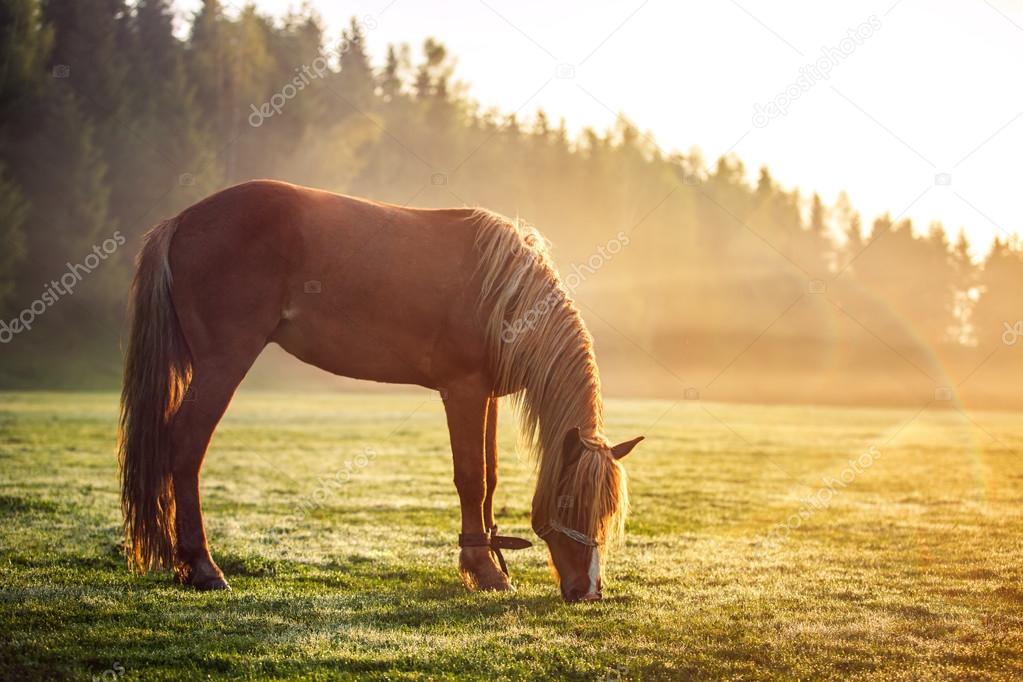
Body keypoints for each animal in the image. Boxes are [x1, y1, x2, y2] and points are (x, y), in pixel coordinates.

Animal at [117, 179, 643, 602]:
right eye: (570, 504)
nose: (588, 591)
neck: (502, 293)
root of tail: (182, 220)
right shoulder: (463, 391)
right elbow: (471, 478)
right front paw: (483, 570)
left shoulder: (488, 396)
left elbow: (490, 478)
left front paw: (491, 561)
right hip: (223, 362)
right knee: (187, 442)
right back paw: (202, 567)